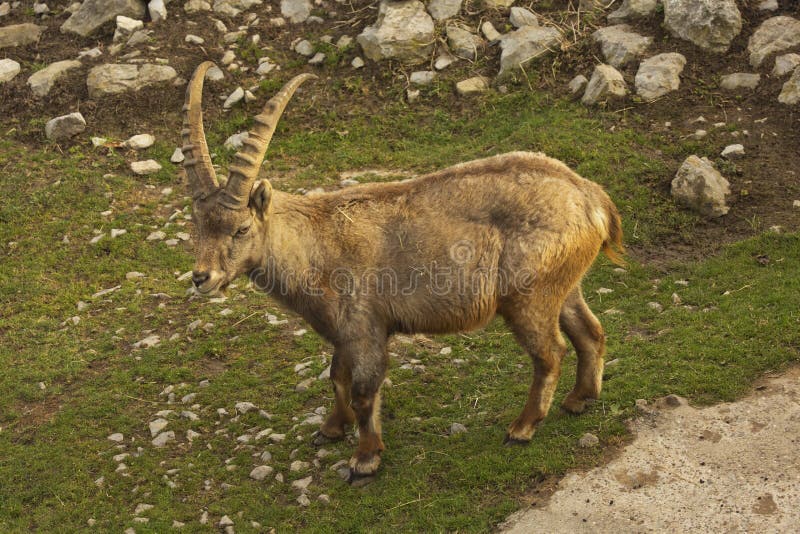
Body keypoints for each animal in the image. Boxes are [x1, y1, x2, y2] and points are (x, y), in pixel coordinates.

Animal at [182, 62, 624, 484]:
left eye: (241, 228)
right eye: (198, 224)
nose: (202, 278)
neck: (315, 243)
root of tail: (590, 197)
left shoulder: (365, 326)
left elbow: (363, 391)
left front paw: (365, 460)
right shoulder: (343, 333)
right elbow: (337, 377)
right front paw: (330, 428)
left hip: (527, 296)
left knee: (550, 352)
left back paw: (523, 427)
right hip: (563, 285)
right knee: (590, 332)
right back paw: (580, 399)